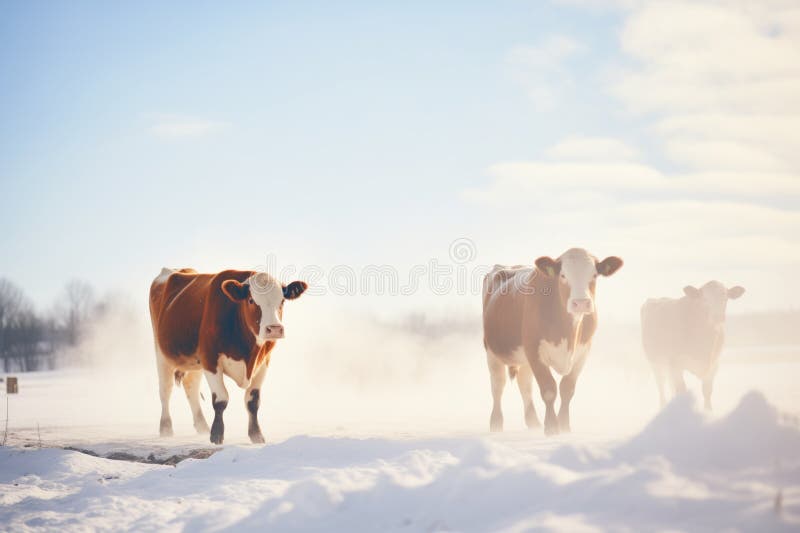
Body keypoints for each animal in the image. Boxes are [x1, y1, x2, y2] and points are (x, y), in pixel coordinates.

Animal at [149, 268, 308, 445]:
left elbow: (253, 401)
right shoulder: (210, 359)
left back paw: (202, 426)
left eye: (282, 301)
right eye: (251, 300)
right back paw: (166, 428)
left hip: (194, 362)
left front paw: (256, 435)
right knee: (165, 389)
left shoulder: (263, 363)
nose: (274, 329)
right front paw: (216, 435)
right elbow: (221, 400)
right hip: (161, 353)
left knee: (191, 387)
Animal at [482, 248, 623, 435]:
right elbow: (549, 389)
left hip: (524, 357)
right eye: (563, 275)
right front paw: (551, 427)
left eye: (594, 275)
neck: (568, 332)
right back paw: (496, 423)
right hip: (491, 350)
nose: (581, 303)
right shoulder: (534, 350)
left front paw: (564, 425)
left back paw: (533, 421)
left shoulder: (583, 352)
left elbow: (567, 389)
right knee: (498, 385)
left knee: (524, 384)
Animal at [641, 281, 745, 411]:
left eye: (725, 298)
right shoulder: (676, 364)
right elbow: (681, 390)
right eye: (704, 299)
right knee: (661, 386)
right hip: (656, 363)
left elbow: (707, 391)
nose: (718, 317)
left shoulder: (713, 366)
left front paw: (708, 412)